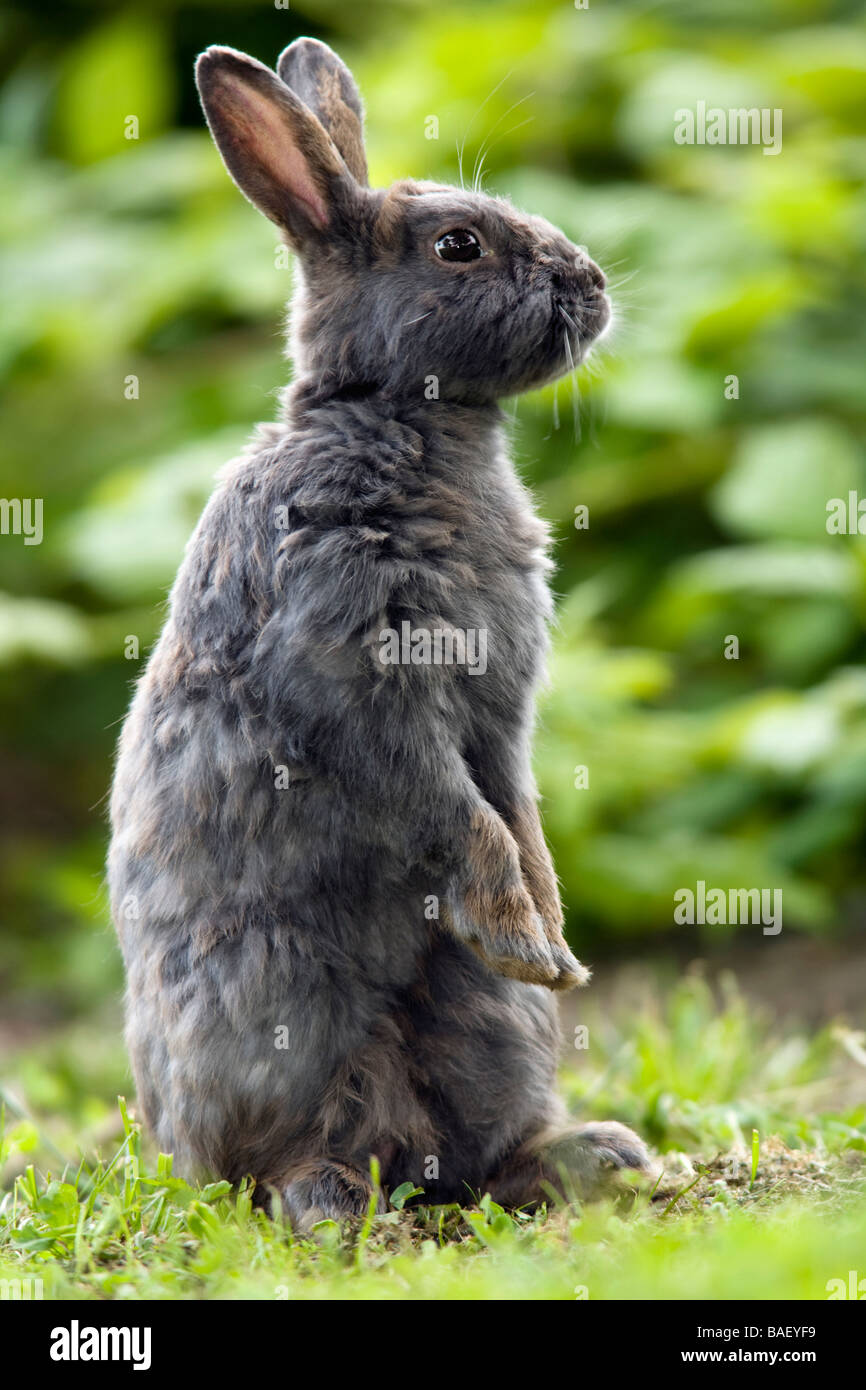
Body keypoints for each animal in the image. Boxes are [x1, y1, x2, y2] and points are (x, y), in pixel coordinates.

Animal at [108, 36, 653, 1229]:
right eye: (458, 246)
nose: (591, 284)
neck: (400, 415)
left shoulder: (498, 722)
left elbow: (516, 814)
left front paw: (553, 949)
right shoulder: (364, 686)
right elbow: (457, 814)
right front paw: (524, 936)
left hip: (487, 1034)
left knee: (476, 1151)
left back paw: (600, 1154)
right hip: (287, 1011)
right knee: (308, 1155)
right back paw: (333, 1209)